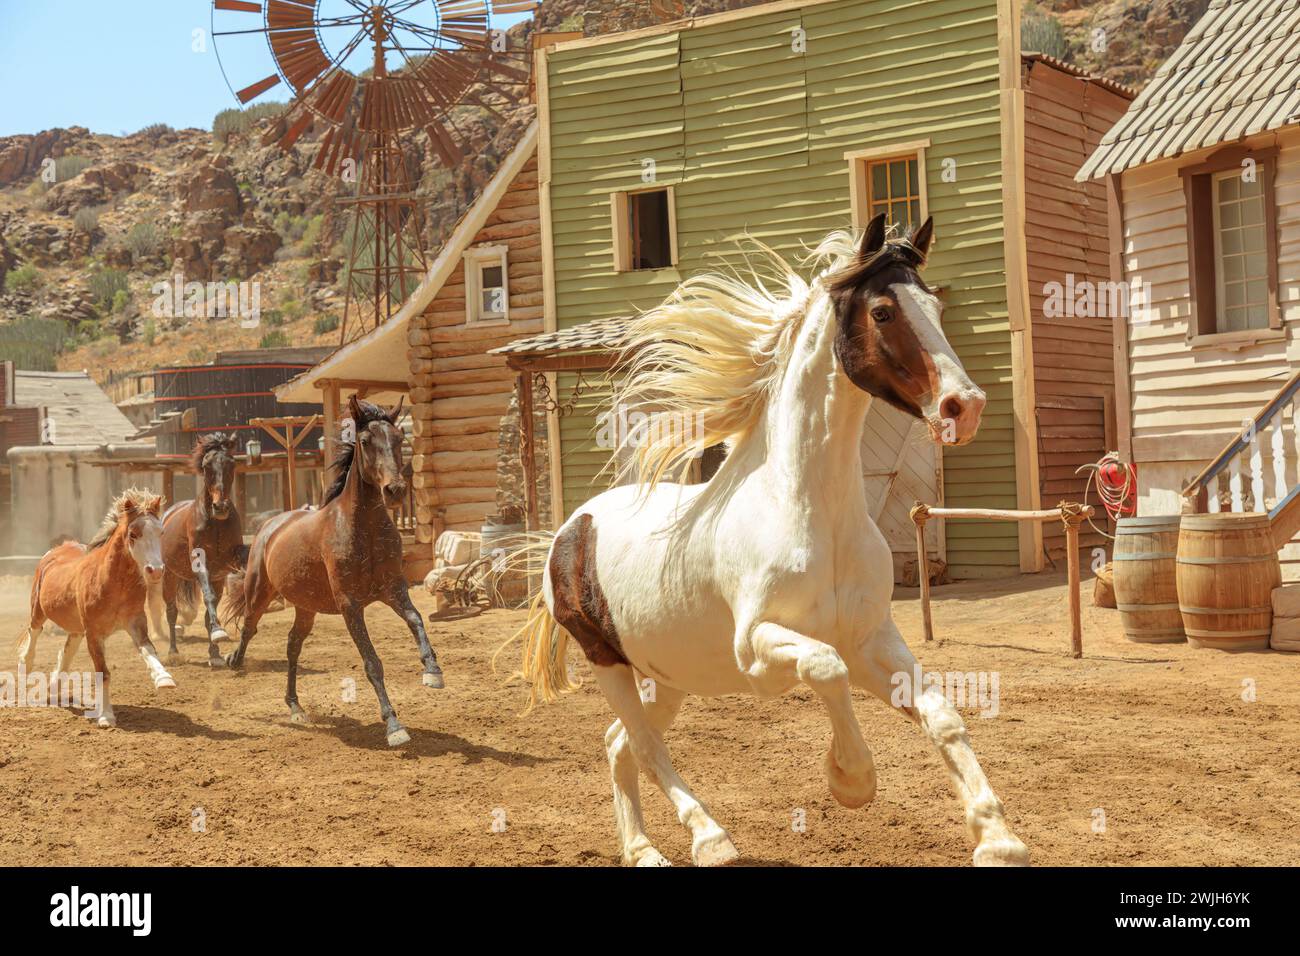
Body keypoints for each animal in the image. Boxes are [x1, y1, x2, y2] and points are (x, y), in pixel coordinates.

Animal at [19, 489, 174, 727]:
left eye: (161, 532)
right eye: (133, 534)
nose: (155, 570)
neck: (113, 582)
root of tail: (56, 550)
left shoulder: (135, 621)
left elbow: (148, 649)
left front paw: (164, 679)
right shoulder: (94, 633)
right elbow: (103, 673)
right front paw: (106, 716)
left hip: (76, 628)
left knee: (67, 653)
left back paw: (54, 689)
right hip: (38, 612)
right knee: (33, 638)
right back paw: (26, 673)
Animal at [150, 432, 244, 667]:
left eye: (231, 464)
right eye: (206, 466)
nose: (221, 506)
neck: (216, 523)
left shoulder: (222, 572)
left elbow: (211, 608)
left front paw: (215, 652)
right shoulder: (201, 563)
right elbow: (208, 597)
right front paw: (218, 632)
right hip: (169, 578)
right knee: (171, 611)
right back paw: (173, 652)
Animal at [221, 396, 445, 747]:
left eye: (398, 439)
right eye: (365, 441)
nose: (395, 490)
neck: (363, 529)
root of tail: (270, 526)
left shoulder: (394, 589)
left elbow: (416, 620)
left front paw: (432, 671)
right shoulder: (350, 605)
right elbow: (372, 663)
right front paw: (394, 727)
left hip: (305, 607)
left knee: (293, 645)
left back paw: (296, 707)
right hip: (259, 592)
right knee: (248, 628)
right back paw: (235, 662)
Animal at [502, 215, 1030, 867]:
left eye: (933, 304)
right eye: (883, 311)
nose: (965, 406)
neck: (810, 514)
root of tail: (569, 529)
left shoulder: (872, 639)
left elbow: (943, 715)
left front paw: (998, 839)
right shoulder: (757, 650)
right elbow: (826, 669)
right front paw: (850, 781)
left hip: (668, 675)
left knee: (619, 743)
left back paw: (643, 849)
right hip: (609, 665)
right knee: (648, 749)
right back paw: (711, 841)